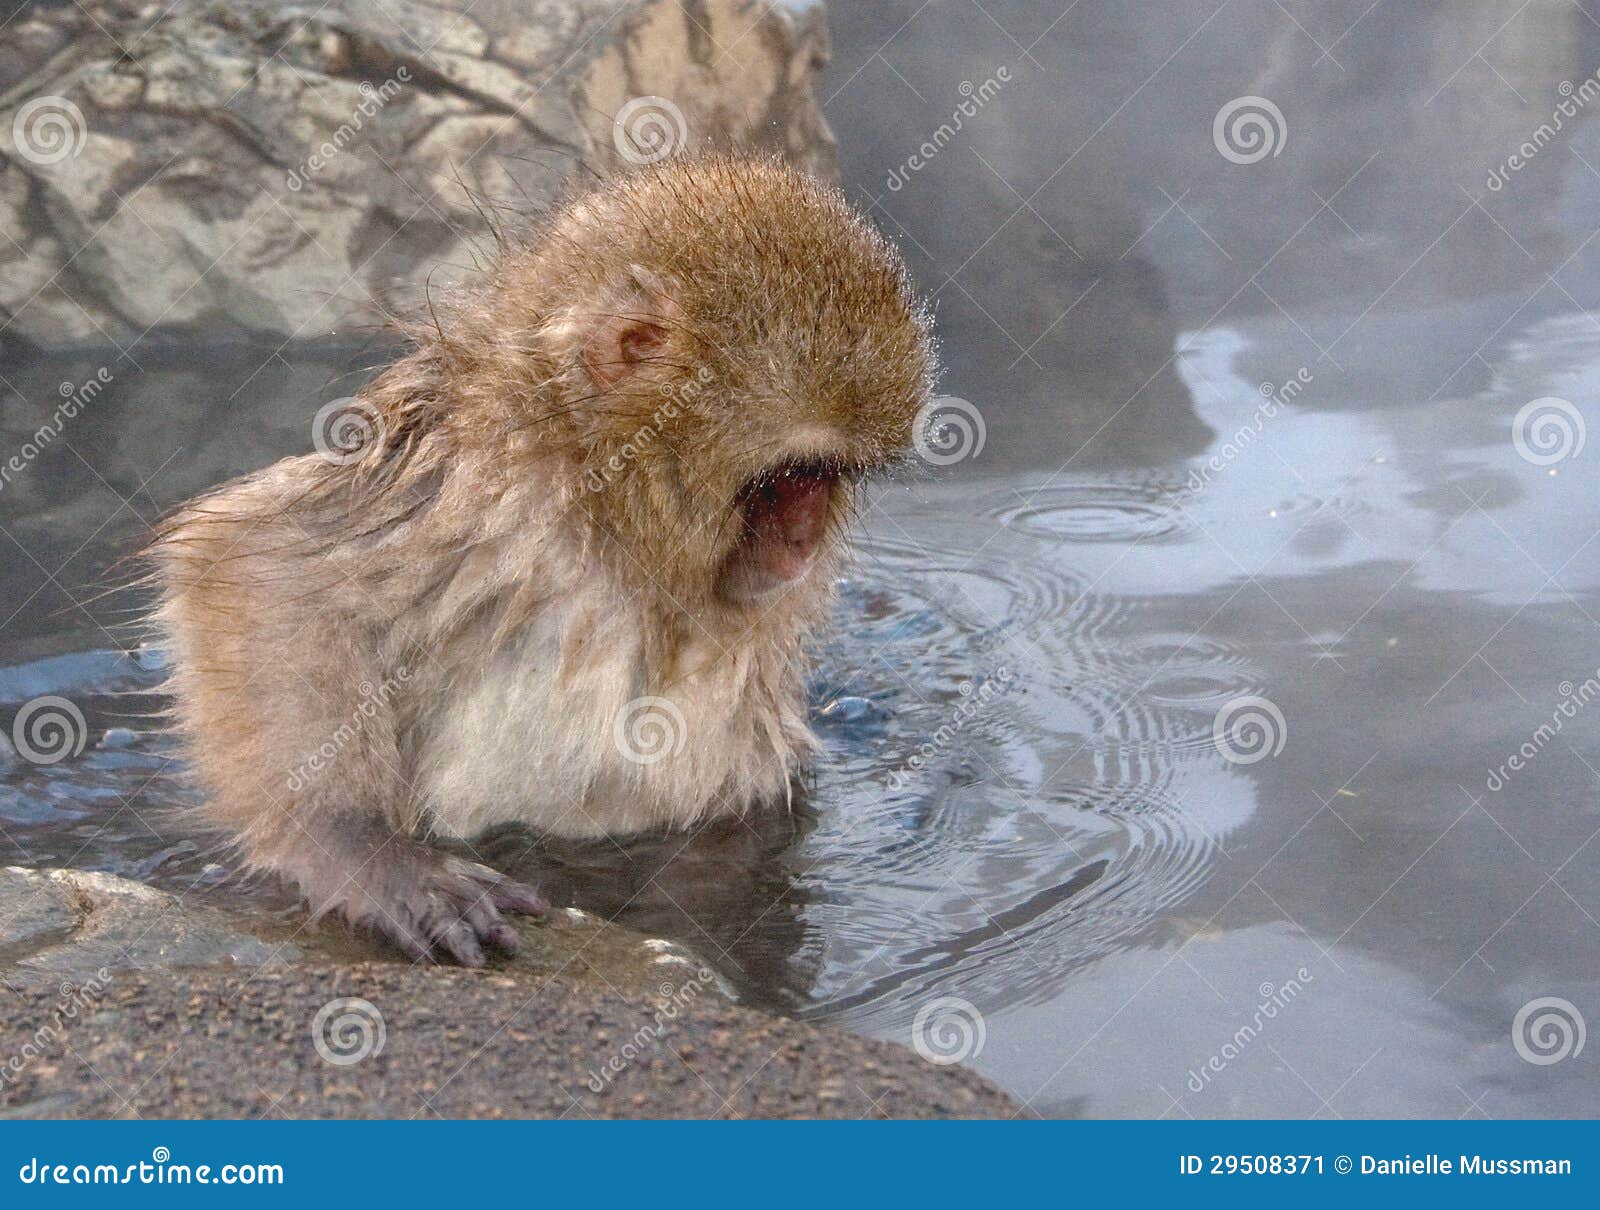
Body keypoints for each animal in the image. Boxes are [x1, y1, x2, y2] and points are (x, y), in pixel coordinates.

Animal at [147, 154, 936, 966]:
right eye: (791, 475)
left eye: (831, 476)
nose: (802, 539)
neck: (610, 520)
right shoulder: (467, 481)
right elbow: (252, 561)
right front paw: (355, 846)